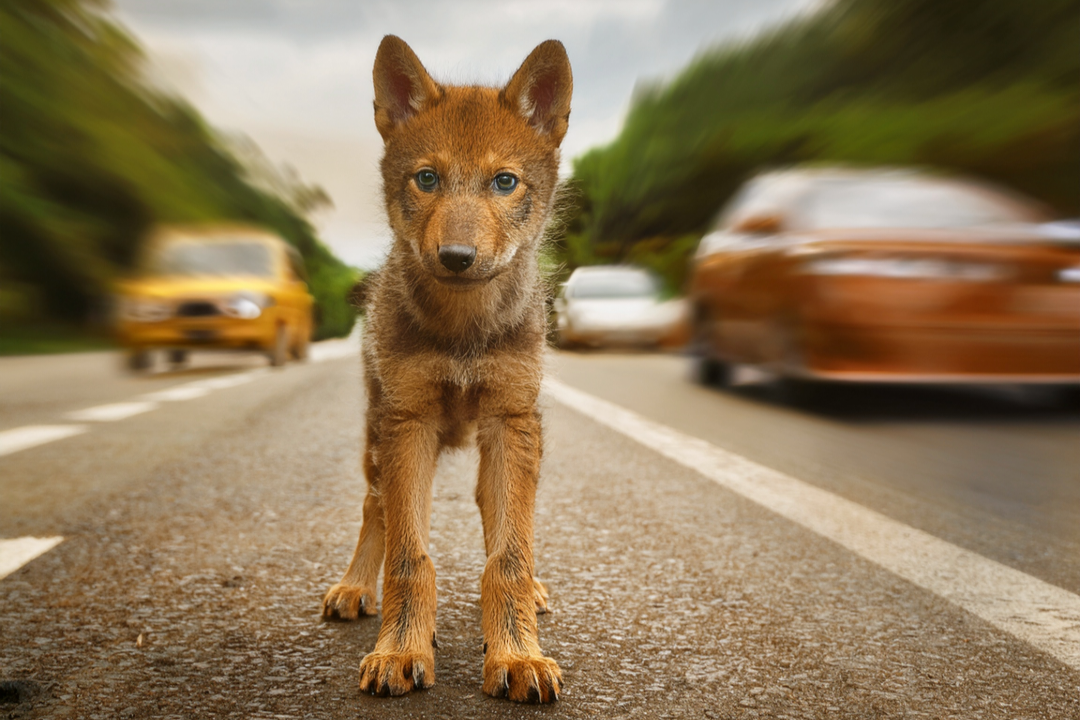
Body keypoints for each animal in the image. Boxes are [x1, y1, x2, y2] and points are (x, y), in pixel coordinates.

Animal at [321, 35, 571, 704]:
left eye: (504, 182)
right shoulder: (408, 424)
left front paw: (516, 655)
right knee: (375, 510)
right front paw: (401, 649)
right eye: (427, 179)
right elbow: (411, 560)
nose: (456, 257)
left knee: (496, 520)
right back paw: (355, 587)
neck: (464, 331)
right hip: (378, 439)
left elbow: (507, 558)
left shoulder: (512, 422)